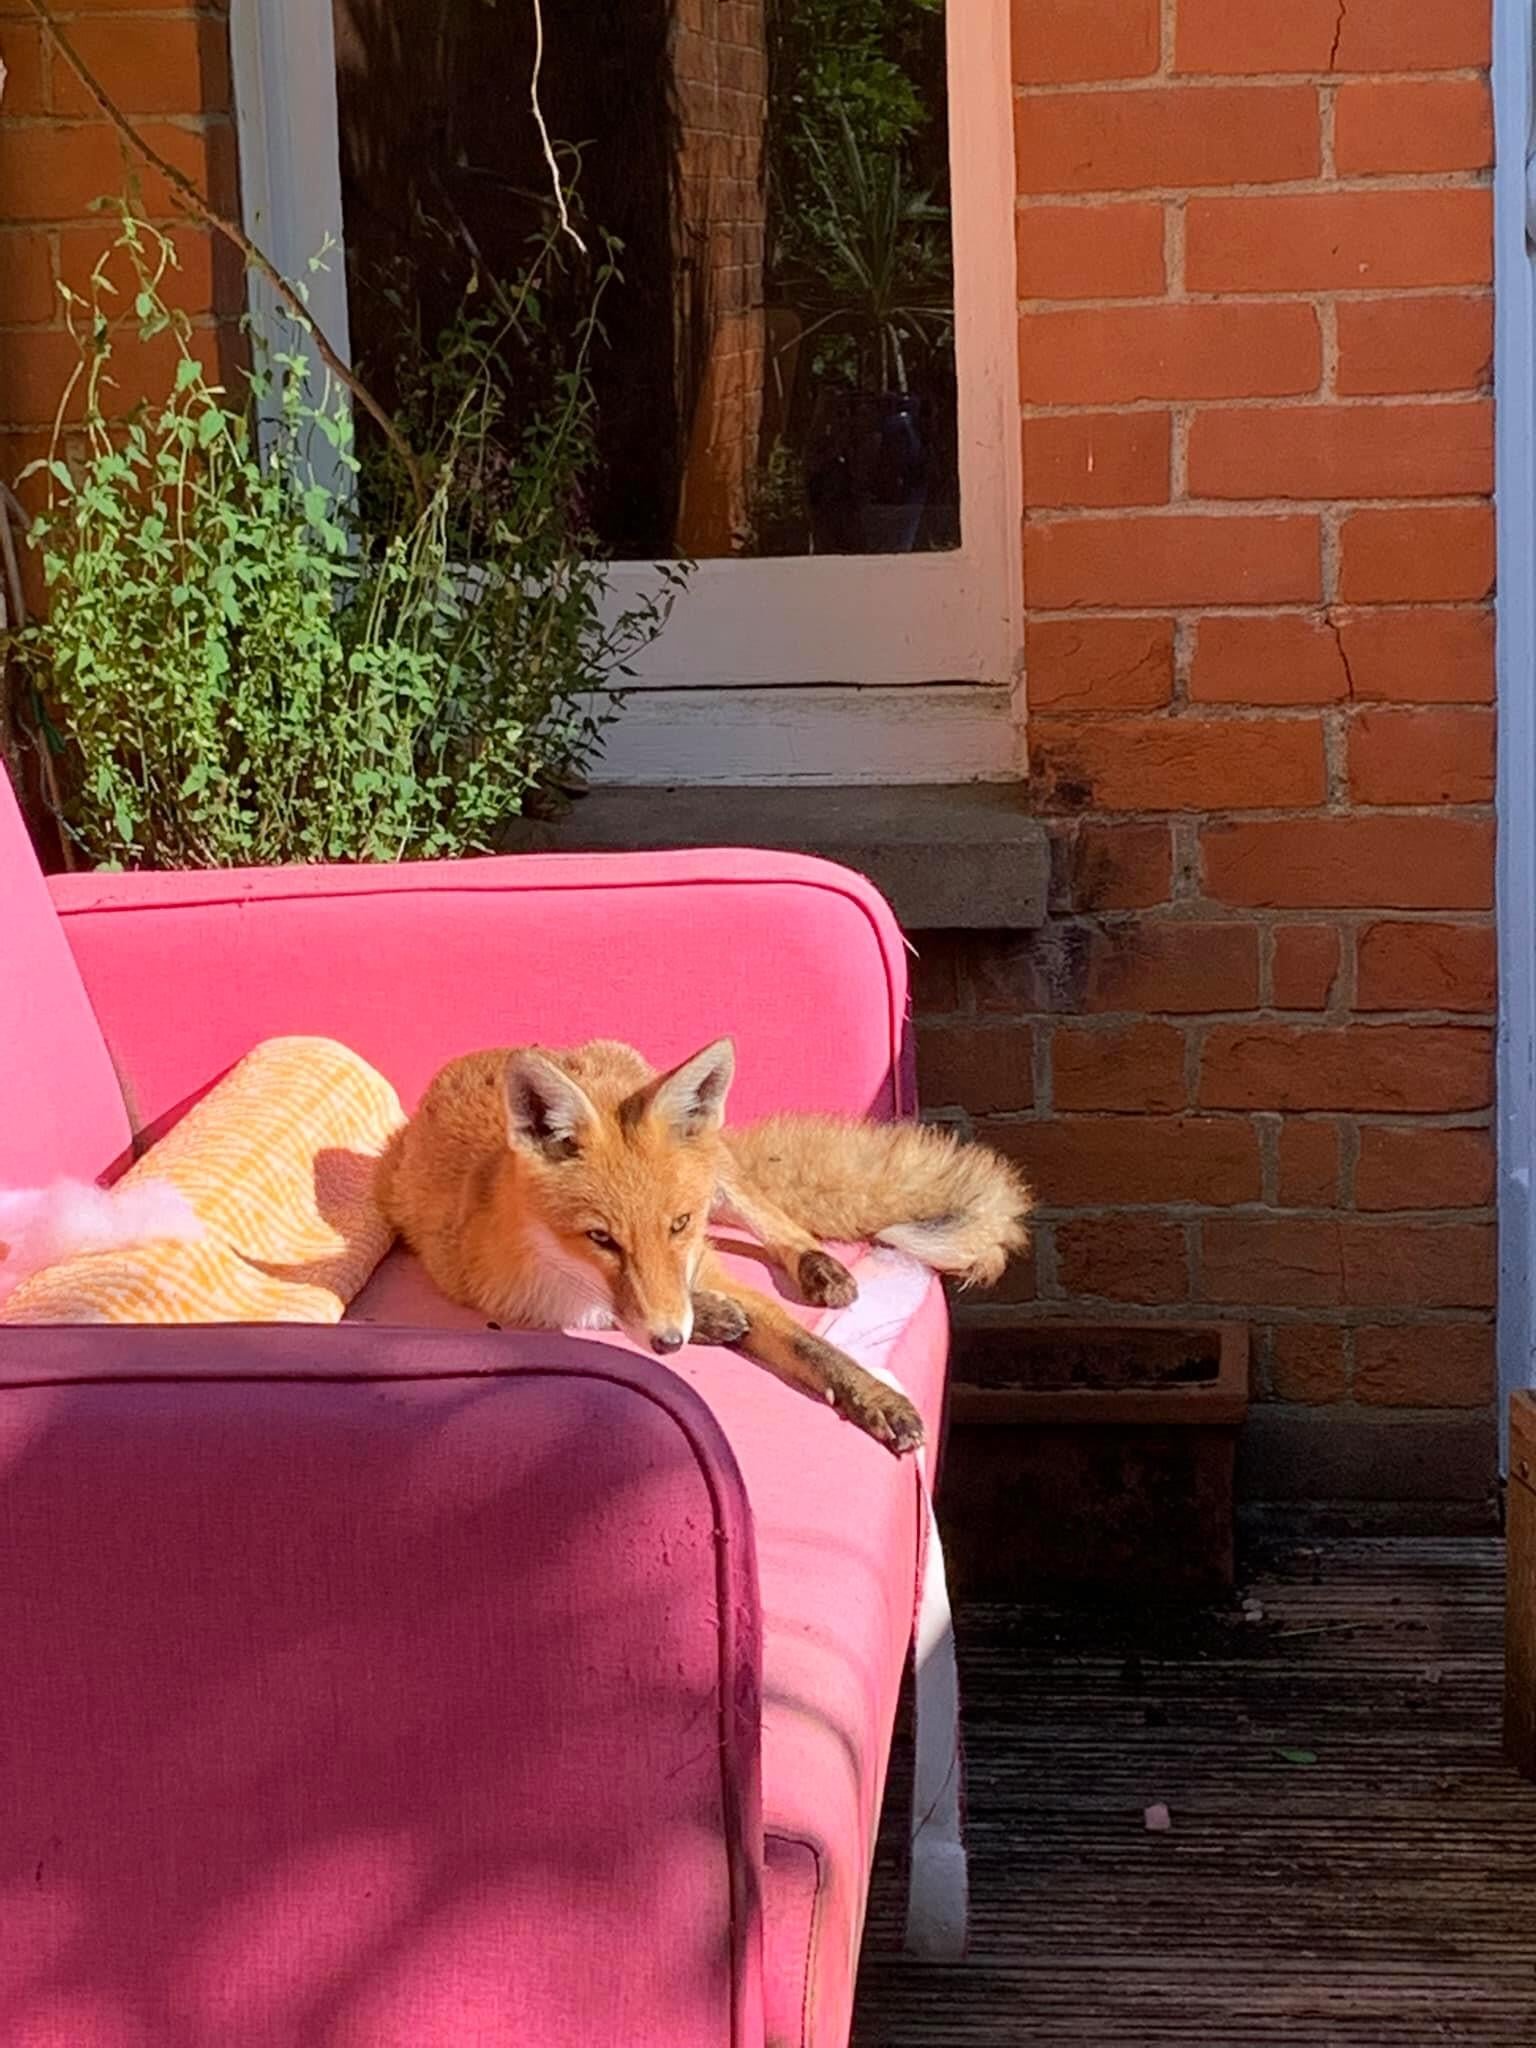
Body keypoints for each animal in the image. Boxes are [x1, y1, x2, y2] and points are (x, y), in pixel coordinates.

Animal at [378, 1036, 1032, 1457]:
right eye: (601, 1239)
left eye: (679, 1224)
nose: (671, 1341)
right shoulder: (506, 1297)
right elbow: (614, 1314)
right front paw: (711, 1323)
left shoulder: (706, 1258)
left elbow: (810, 1346)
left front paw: (875, 1398)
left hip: (718, 1170)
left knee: (775, 1217)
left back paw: (816, 1266)